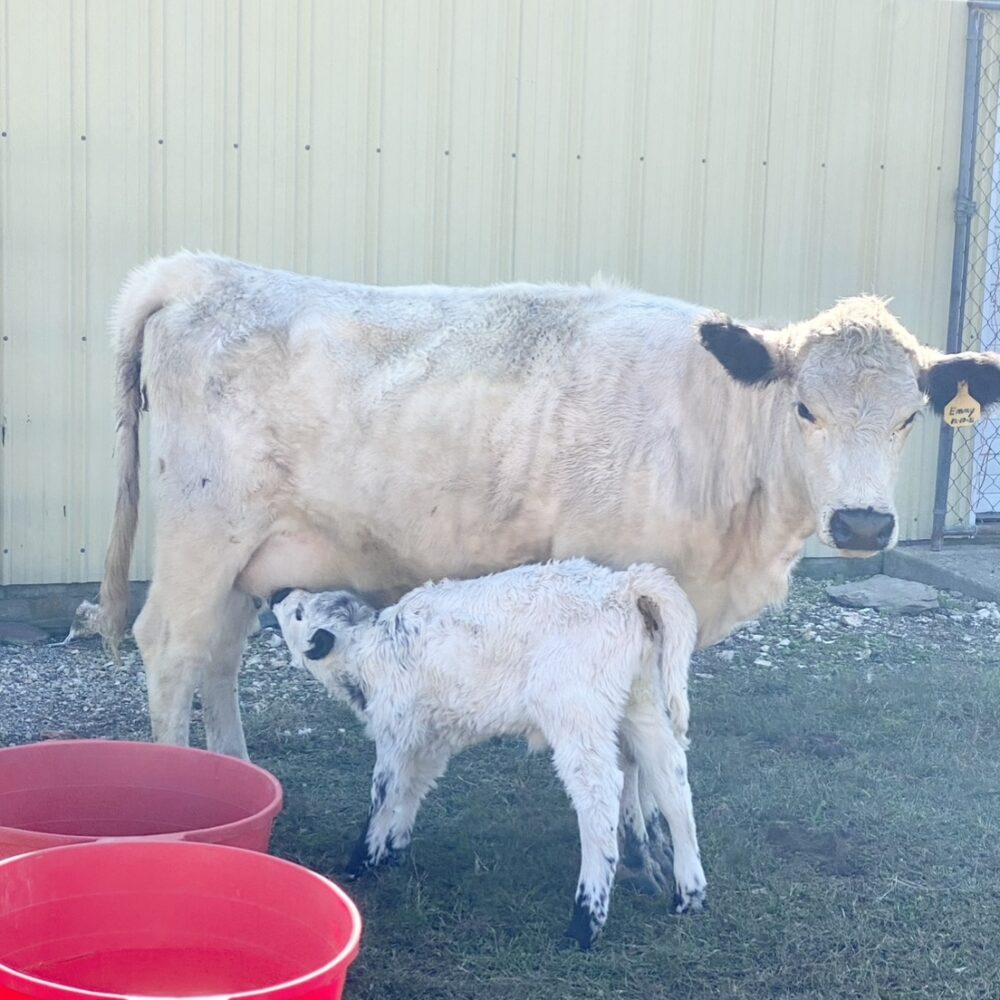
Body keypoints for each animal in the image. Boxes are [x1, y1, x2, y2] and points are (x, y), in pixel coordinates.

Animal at [79, 252, 1000, 760]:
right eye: (804, 409)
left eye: (910, 417)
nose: (864, 523)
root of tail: (202, 271)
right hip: (204, 532)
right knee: (171, 647)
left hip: (250, 553)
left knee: (219, 654)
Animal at [271, 559, 702, 949]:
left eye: (299, 613)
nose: (277, 593)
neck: (370, 652)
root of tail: (625, 586)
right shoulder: (428, 740)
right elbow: (412, 791)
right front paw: (395, 851)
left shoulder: (396, 730)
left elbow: (384, 793)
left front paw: (360, 863)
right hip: (641, 700)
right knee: (671, 777)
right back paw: (689, 895)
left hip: (577, 711)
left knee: (600, 795)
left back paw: (585, 922)